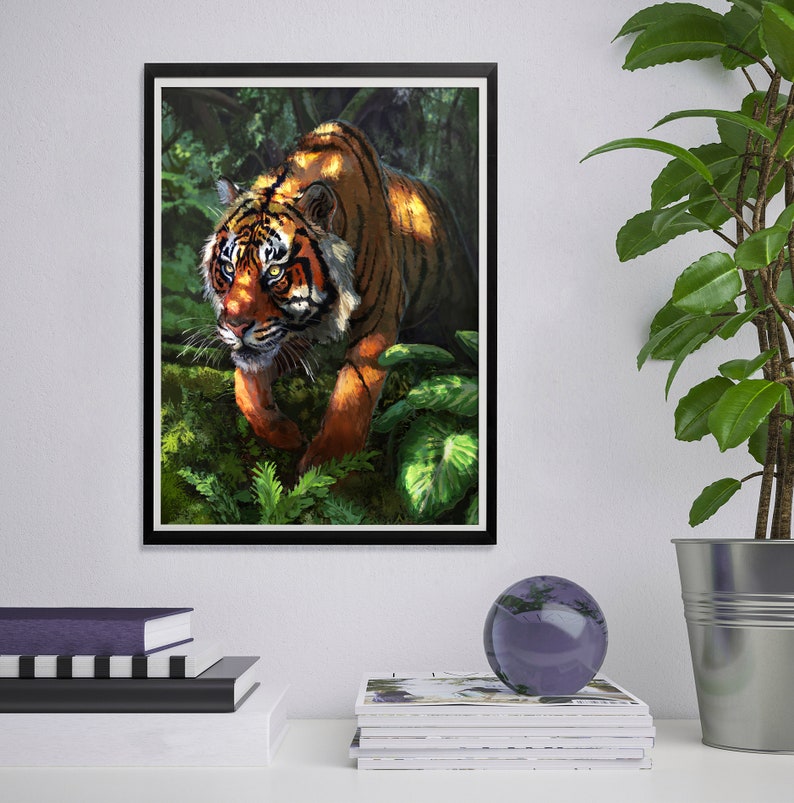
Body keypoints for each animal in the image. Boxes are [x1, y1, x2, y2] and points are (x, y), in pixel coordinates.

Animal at [201, 120, 478, 472]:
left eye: (274, 271)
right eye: (228, 268)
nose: (235, 327)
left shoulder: (378, 322)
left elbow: (354, 389)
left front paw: (327, 461)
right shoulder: (289, 333)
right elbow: (246, 380)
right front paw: (282, 433)